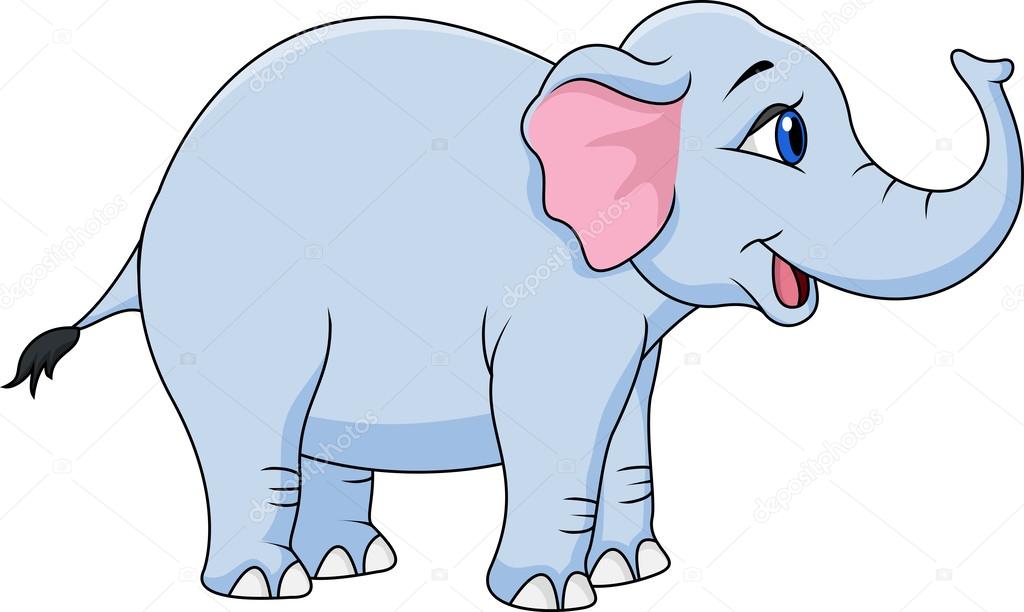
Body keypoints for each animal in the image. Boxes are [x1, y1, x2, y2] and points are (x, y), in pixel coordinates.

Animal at [5, 1, 1021, 609]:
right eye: (788, 136)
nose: (986, 56)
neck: (630, 65)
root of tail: (144, 234)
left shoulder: (636, 319)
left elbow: (627, 425)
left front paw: (631, 573)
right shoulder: (564, 300)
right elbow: (559, 421)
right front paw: (546, 595)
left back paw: (351, 566)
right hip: (233, 297)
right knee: (257, 424)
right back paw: (267, 585)